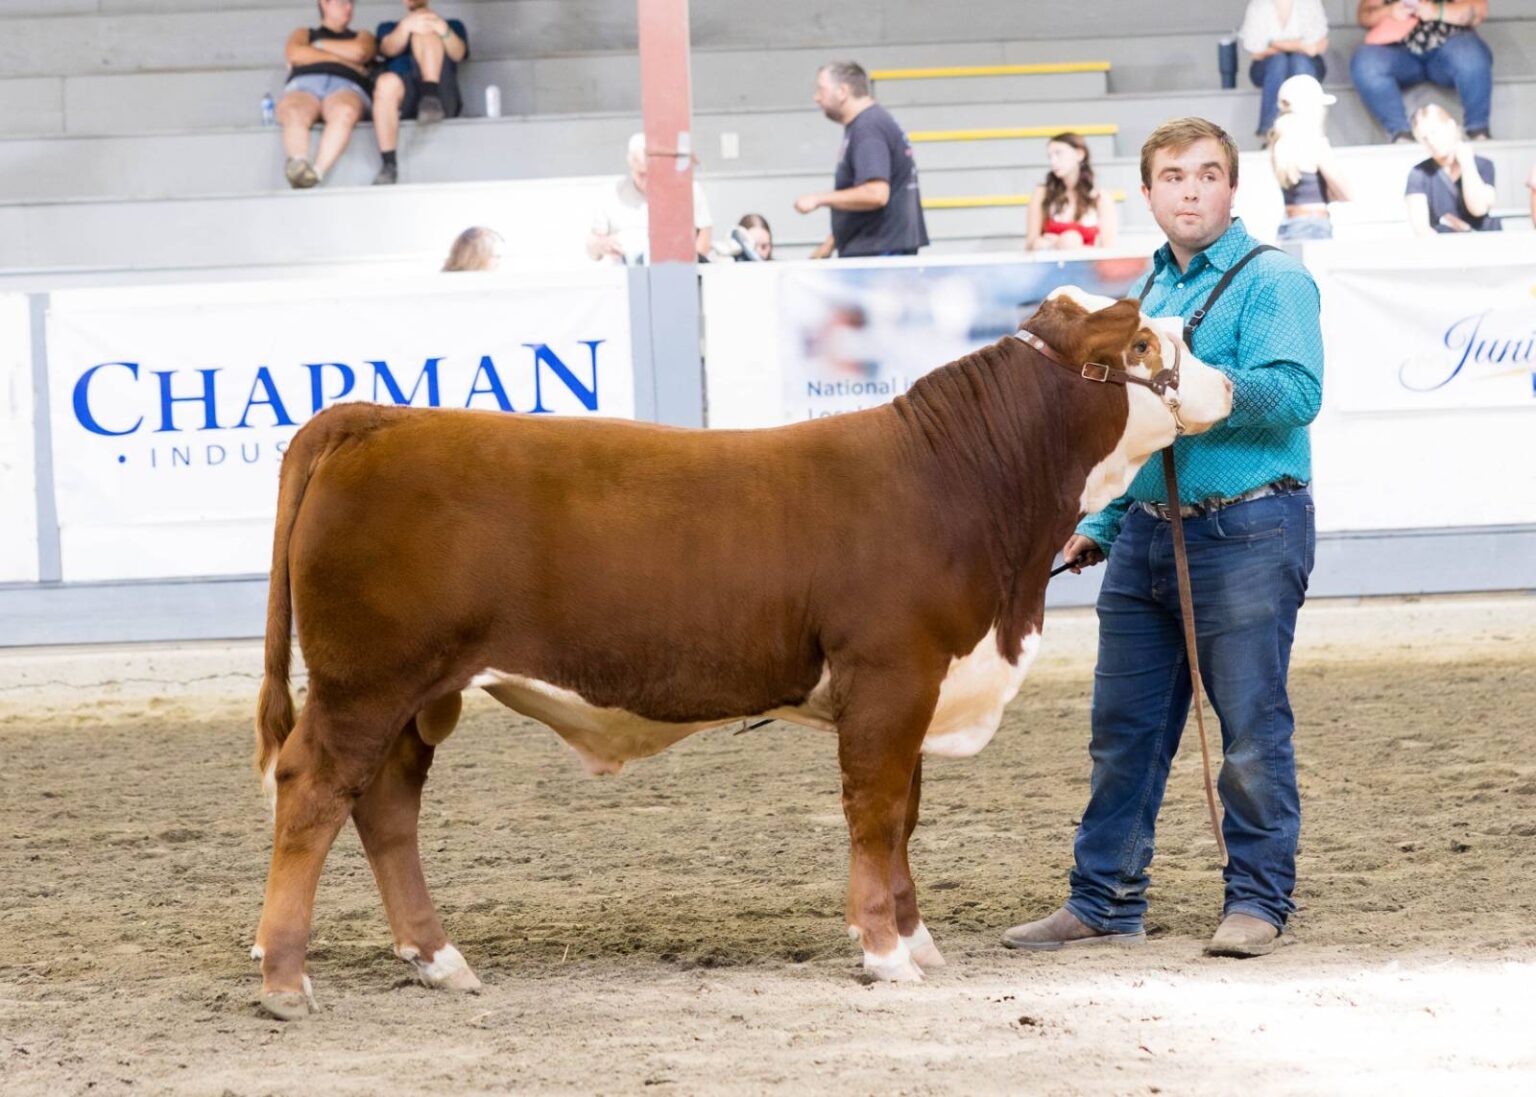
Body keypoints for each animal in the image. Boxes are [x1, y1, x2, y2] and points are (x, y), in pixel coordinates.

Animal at [249, 288, 1233, 1019]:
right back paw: (285, 978)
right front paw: (884, 952)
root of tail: (375, 416)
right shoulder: (890, 674)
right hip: (365, 681)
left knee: (386, 807)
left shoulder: (916, 685)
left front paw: (917, 940)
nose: (1226, 386)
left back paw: (438, 959)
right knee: (313, 790)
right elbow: (875, 813)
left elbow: (904, 818)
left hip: (416, 695)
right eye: (1144, 340)